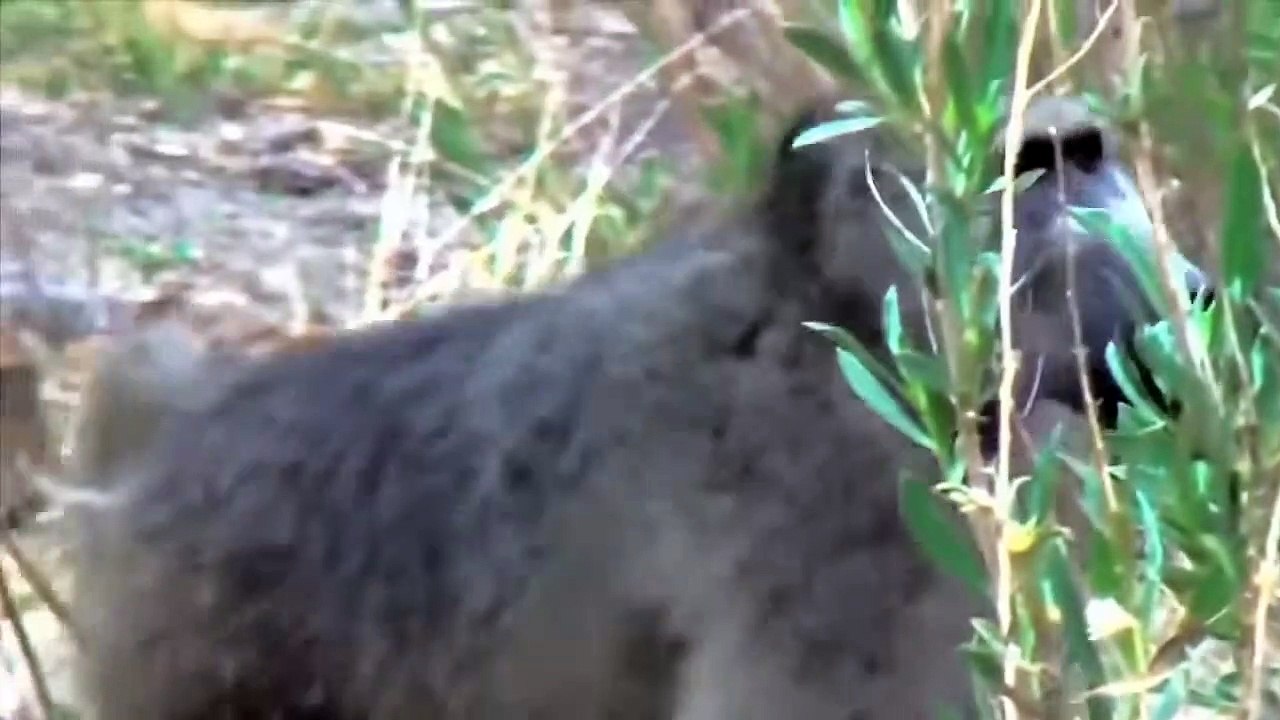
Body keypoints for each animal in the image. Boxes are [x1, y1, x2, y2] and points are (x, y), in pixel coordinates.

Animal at [61, 94, 1211, 720]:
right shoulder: (838, 519)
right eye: (1034, 170)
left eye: (1086, 157)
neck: (823, 307)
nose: (1189, 290)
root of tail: (169, 420)